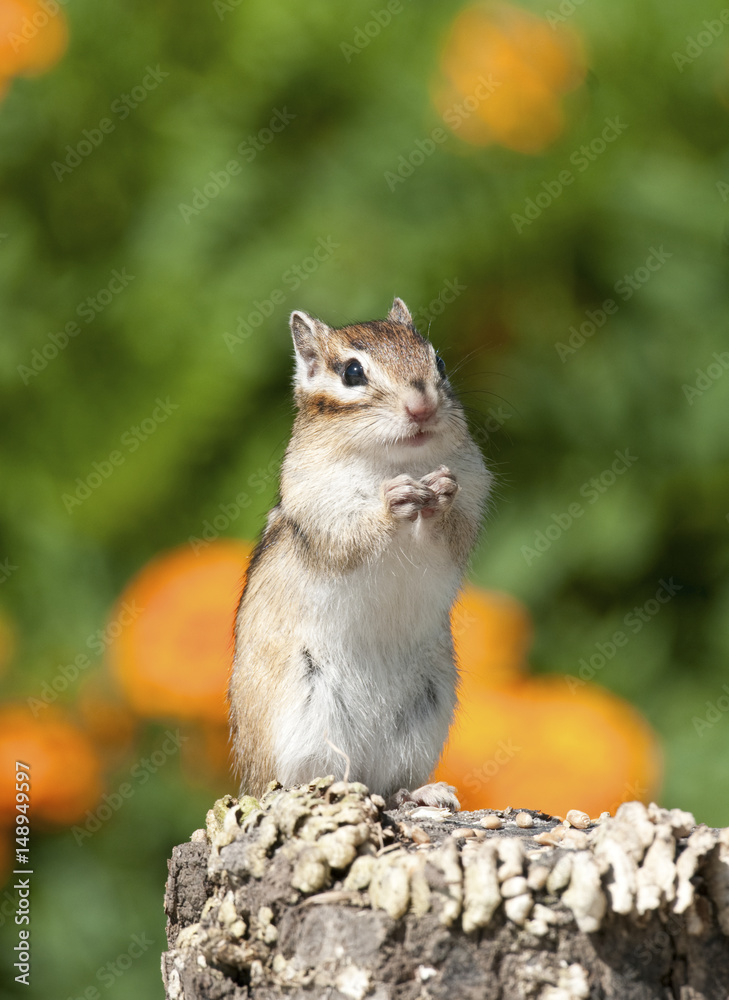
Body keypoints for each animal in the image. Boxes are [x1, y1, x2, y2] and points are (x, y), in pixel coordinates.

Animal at [228, 297, 490, 809]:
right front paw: (391, 504)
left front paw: (441, 492)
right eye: (352, 372)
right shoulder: (322, 510)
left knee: (391, 786)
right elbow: (348, 539)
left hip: (423, 717)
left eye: (439, 362)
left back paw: (425, 792)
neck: (397, 462)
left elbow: (454, 528)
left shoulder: (473, 496)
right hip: (310, 723)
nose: (423, 406)